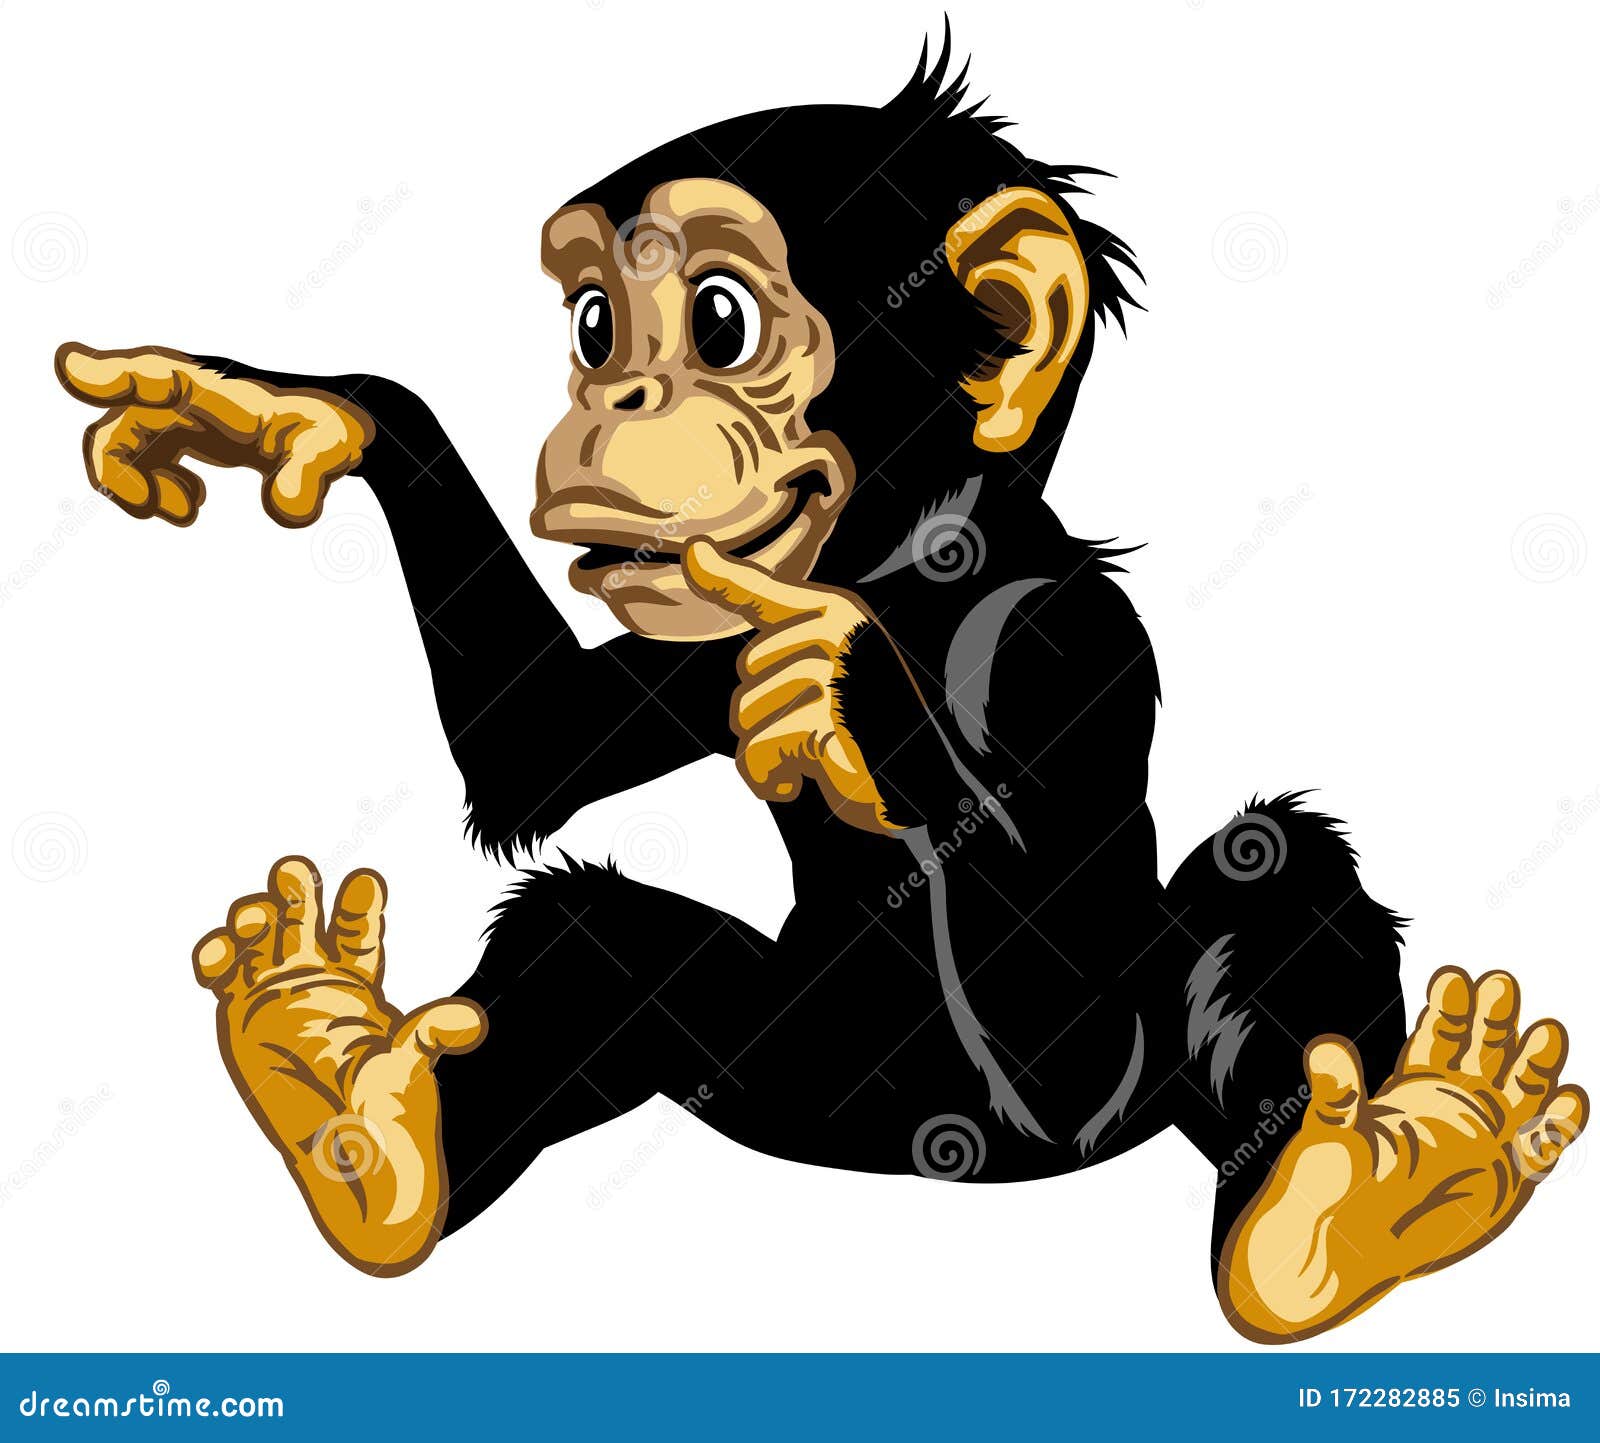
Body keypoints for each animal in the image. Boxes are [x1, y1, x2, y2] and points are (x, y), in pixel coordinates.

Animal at [54, 32, 1586, 1341]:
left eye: (719, 320)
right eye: (596, 324)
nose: (606, 398)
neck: (906, 569)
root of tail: (914, 1166)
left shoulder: (1063, 639)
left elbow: (1066, 1005)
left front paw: (850, 694)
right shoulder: (703, 648)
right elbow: (536, 747)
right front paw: (306, 411)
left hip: (1089, 1118)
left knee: (1280, 867)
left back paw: (1342, 1207)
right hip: (781, 1068)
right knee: (590, 931)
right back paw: (361, 1127)